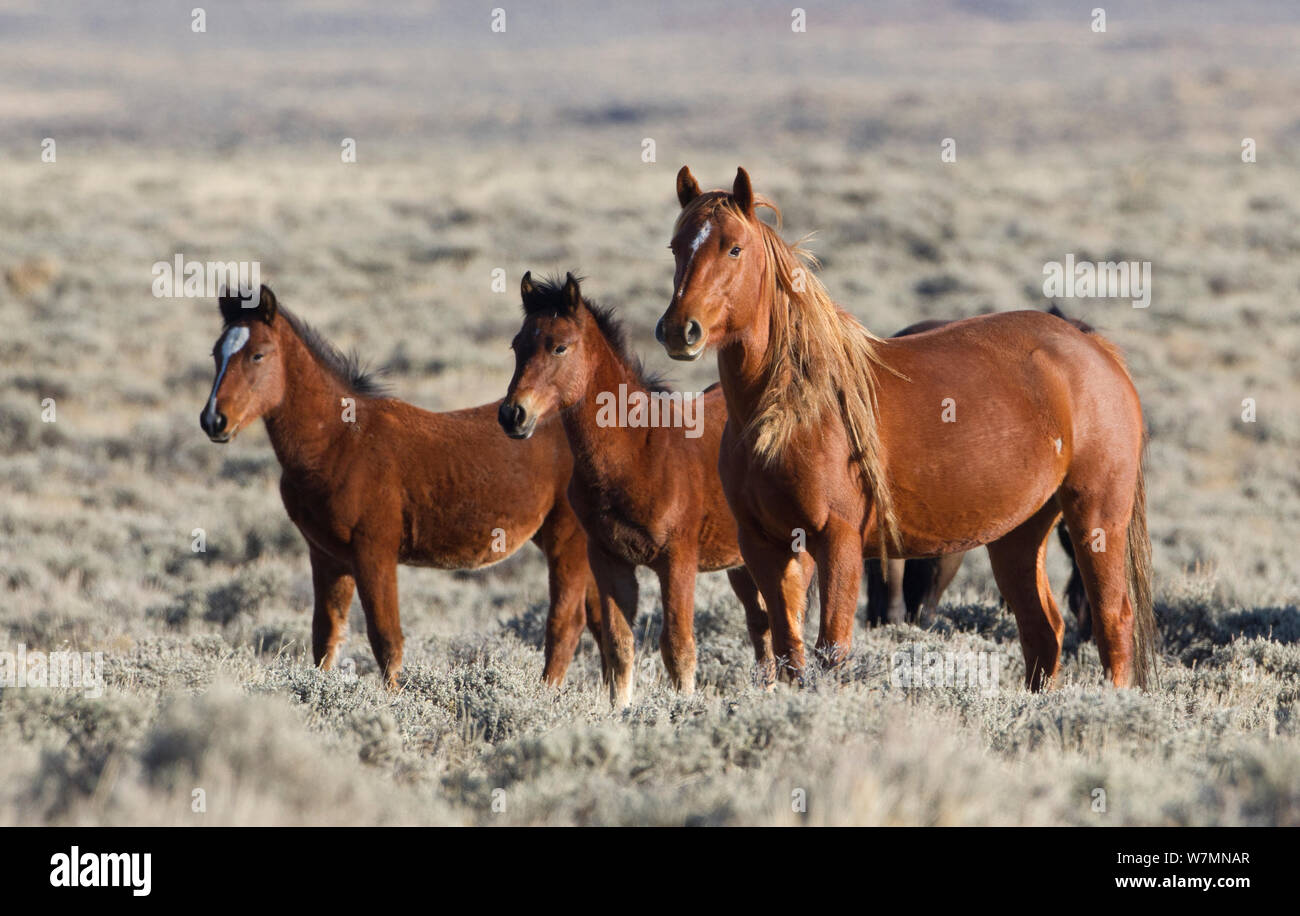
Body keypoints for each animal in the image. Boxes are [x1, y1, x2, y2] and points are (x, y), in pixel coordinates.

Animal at [200, 285, 604, 689]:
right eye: (216, 353)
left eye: (258, 354)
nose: (213, 420)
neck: (339, 441)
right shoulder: (327, 556)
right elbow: (326, 639)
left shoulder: (374, 551)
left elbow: (386, 640)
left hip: (567, 540)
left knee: (566, 625)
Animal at [498, 272, 773, 708]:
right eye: (517, 345)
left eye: (560, 346)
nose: (513, 414)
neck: (638, 453)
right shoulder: (609, 560)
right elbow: (618, 644)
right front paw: (621, 710)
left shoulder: (677, 561)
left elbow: (677, 646)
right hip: (742, 565)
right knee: (763, 627)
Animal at [656, 167, 1157, 690]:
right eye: (676, 247)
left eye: (734, 248)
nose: (679, 330)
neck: (789, 409)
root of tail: (1091, 345)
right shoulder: (763, 547)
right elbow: (789, 652)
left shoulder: (838, 543)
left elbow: (832, 649)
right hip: (1020, 533)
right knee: (1044, 630)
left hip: (1095, 516)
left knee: (1112, 621)